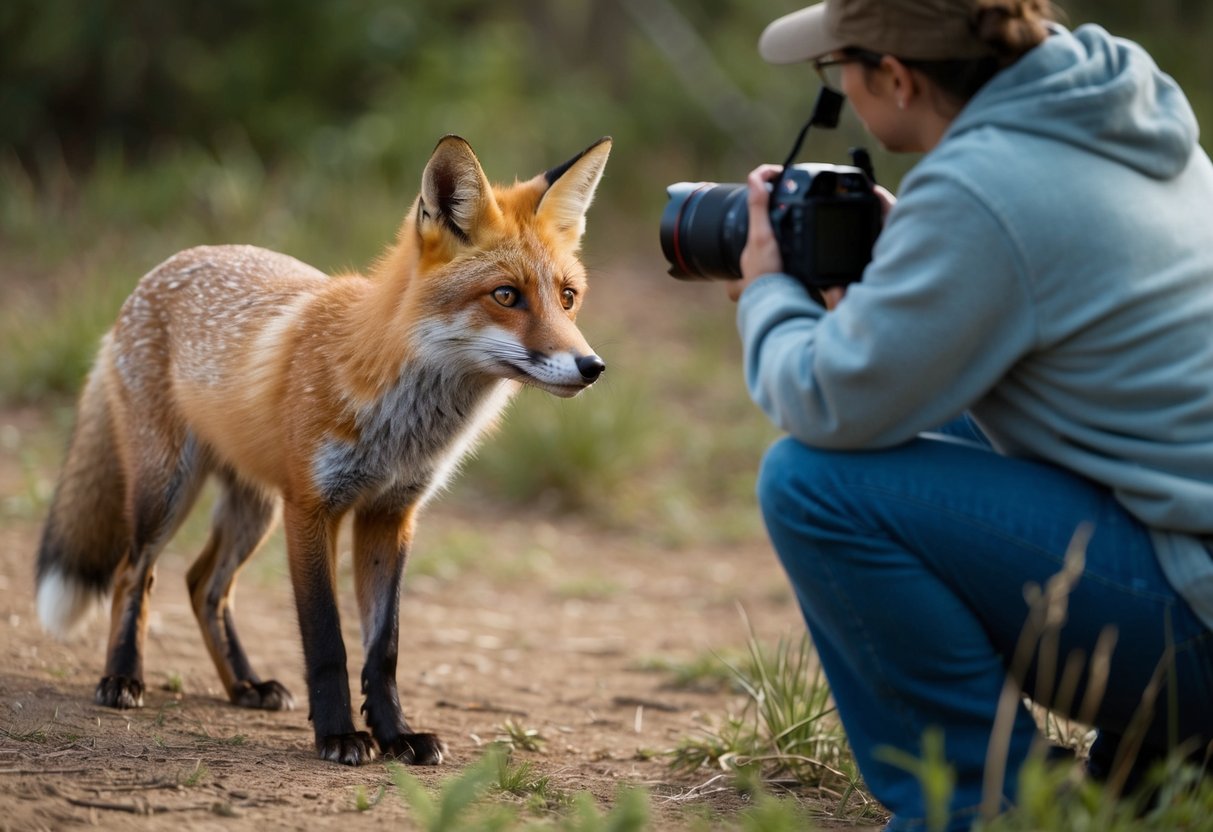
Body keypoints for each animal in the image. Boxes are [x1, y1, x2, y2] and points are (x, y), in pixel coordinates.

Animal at [34, 135, 611, 766]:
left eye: (568, 298)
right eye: (506, 295)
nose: (592, 366)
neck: (399, 421)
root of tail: (156, 273)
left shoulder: (390, 514)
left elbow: (383, 649)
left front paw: (397, 736)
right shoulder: (312, 508)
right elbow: (327, 639)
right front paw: (338, 735)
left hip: (254, 509)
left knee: (203, 584)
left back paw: (244, 685)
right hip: (167, 491)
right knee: (133, 574)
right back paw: (121, 678)